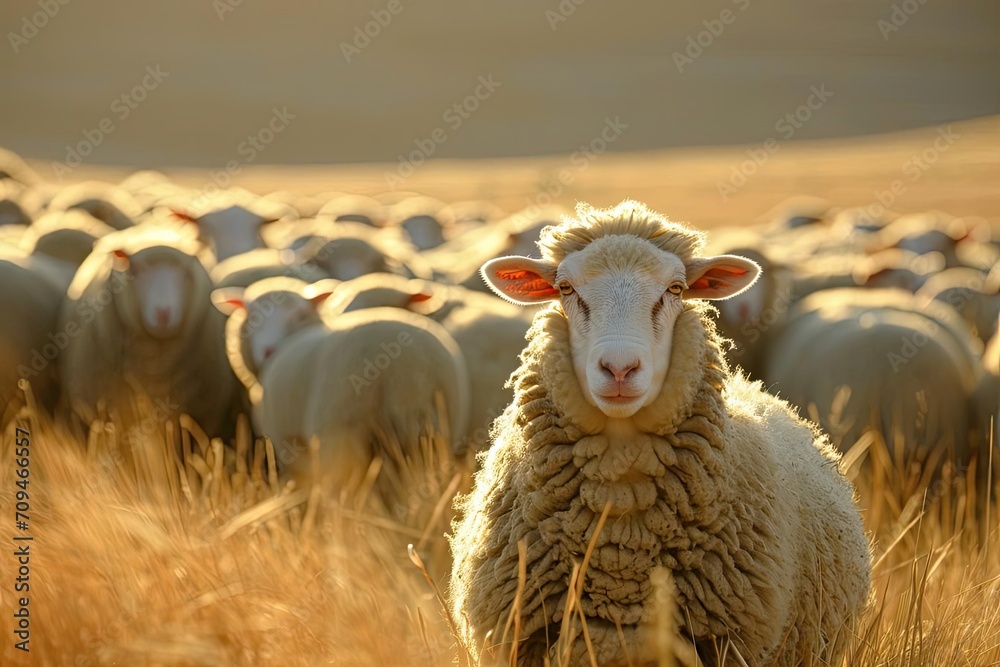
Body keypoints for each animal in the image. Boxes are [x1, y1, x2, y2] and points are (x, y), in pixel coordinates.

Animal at [211, 278, 469, 520]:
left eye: (299, 315)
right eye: (253, 317)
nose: (268, 351)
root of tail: (397, 364)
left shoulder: (290, 454)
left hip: (343, 437)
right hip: (427, 433)